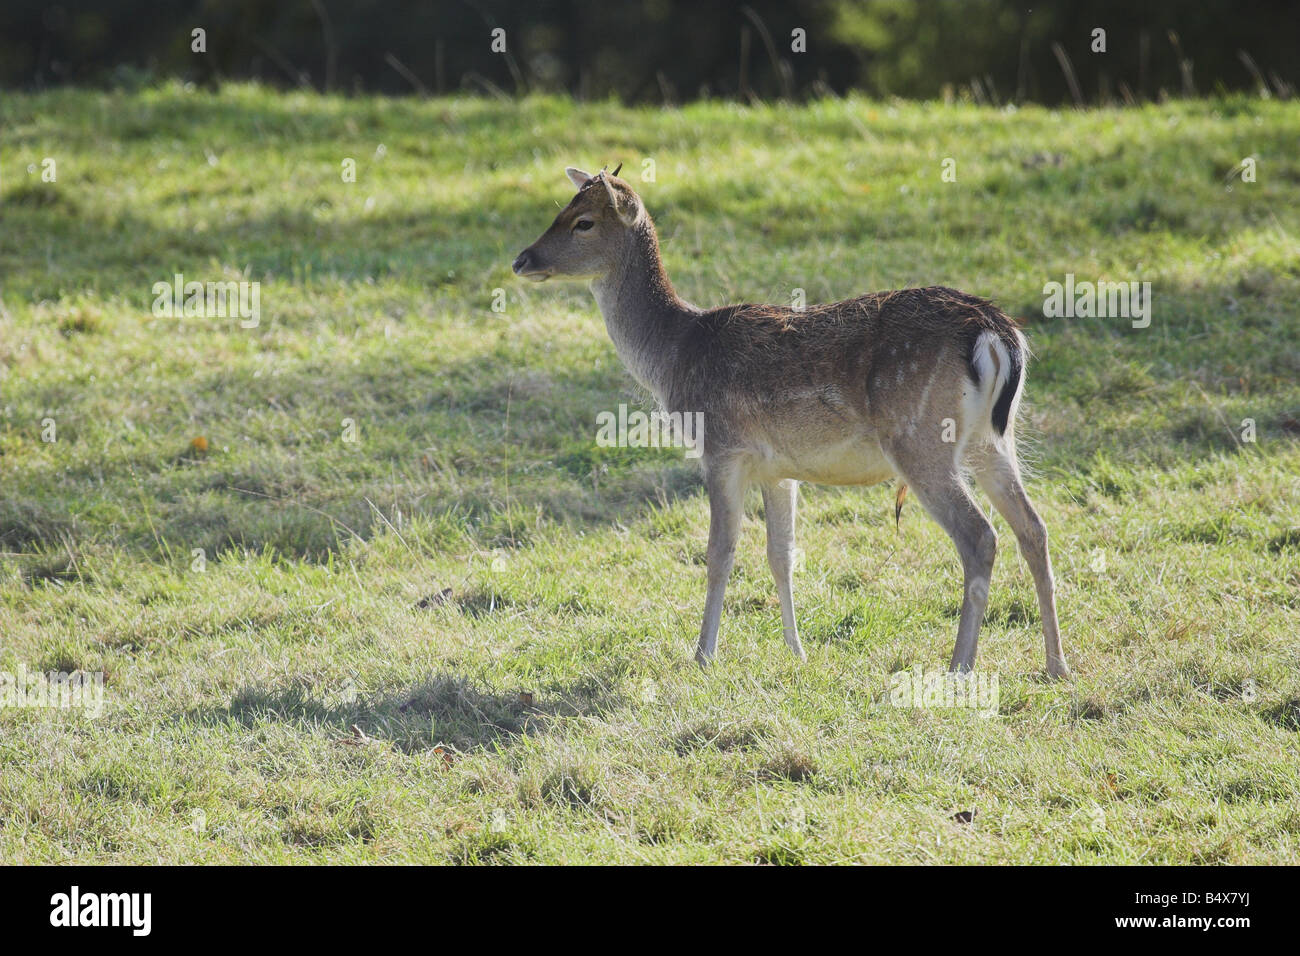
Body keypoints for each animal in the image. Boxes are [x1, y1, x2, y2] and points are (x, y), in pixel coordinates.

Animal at [512, 165, 1069, 680]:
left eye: (582, 221)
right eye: (564, 208)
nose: (522, 259)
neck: (674, 356)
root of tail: (996, 334)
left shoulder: (721, 449)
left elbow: (719, 553)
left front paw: (703, 656)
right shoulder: (780, 470)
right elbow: (781, 554)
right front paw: (796, 651)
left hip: (921, 439)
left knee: (980, 536)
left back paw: (959, 666)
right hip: (993, 440)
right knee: (1034, 527)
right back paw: (1057, 665)